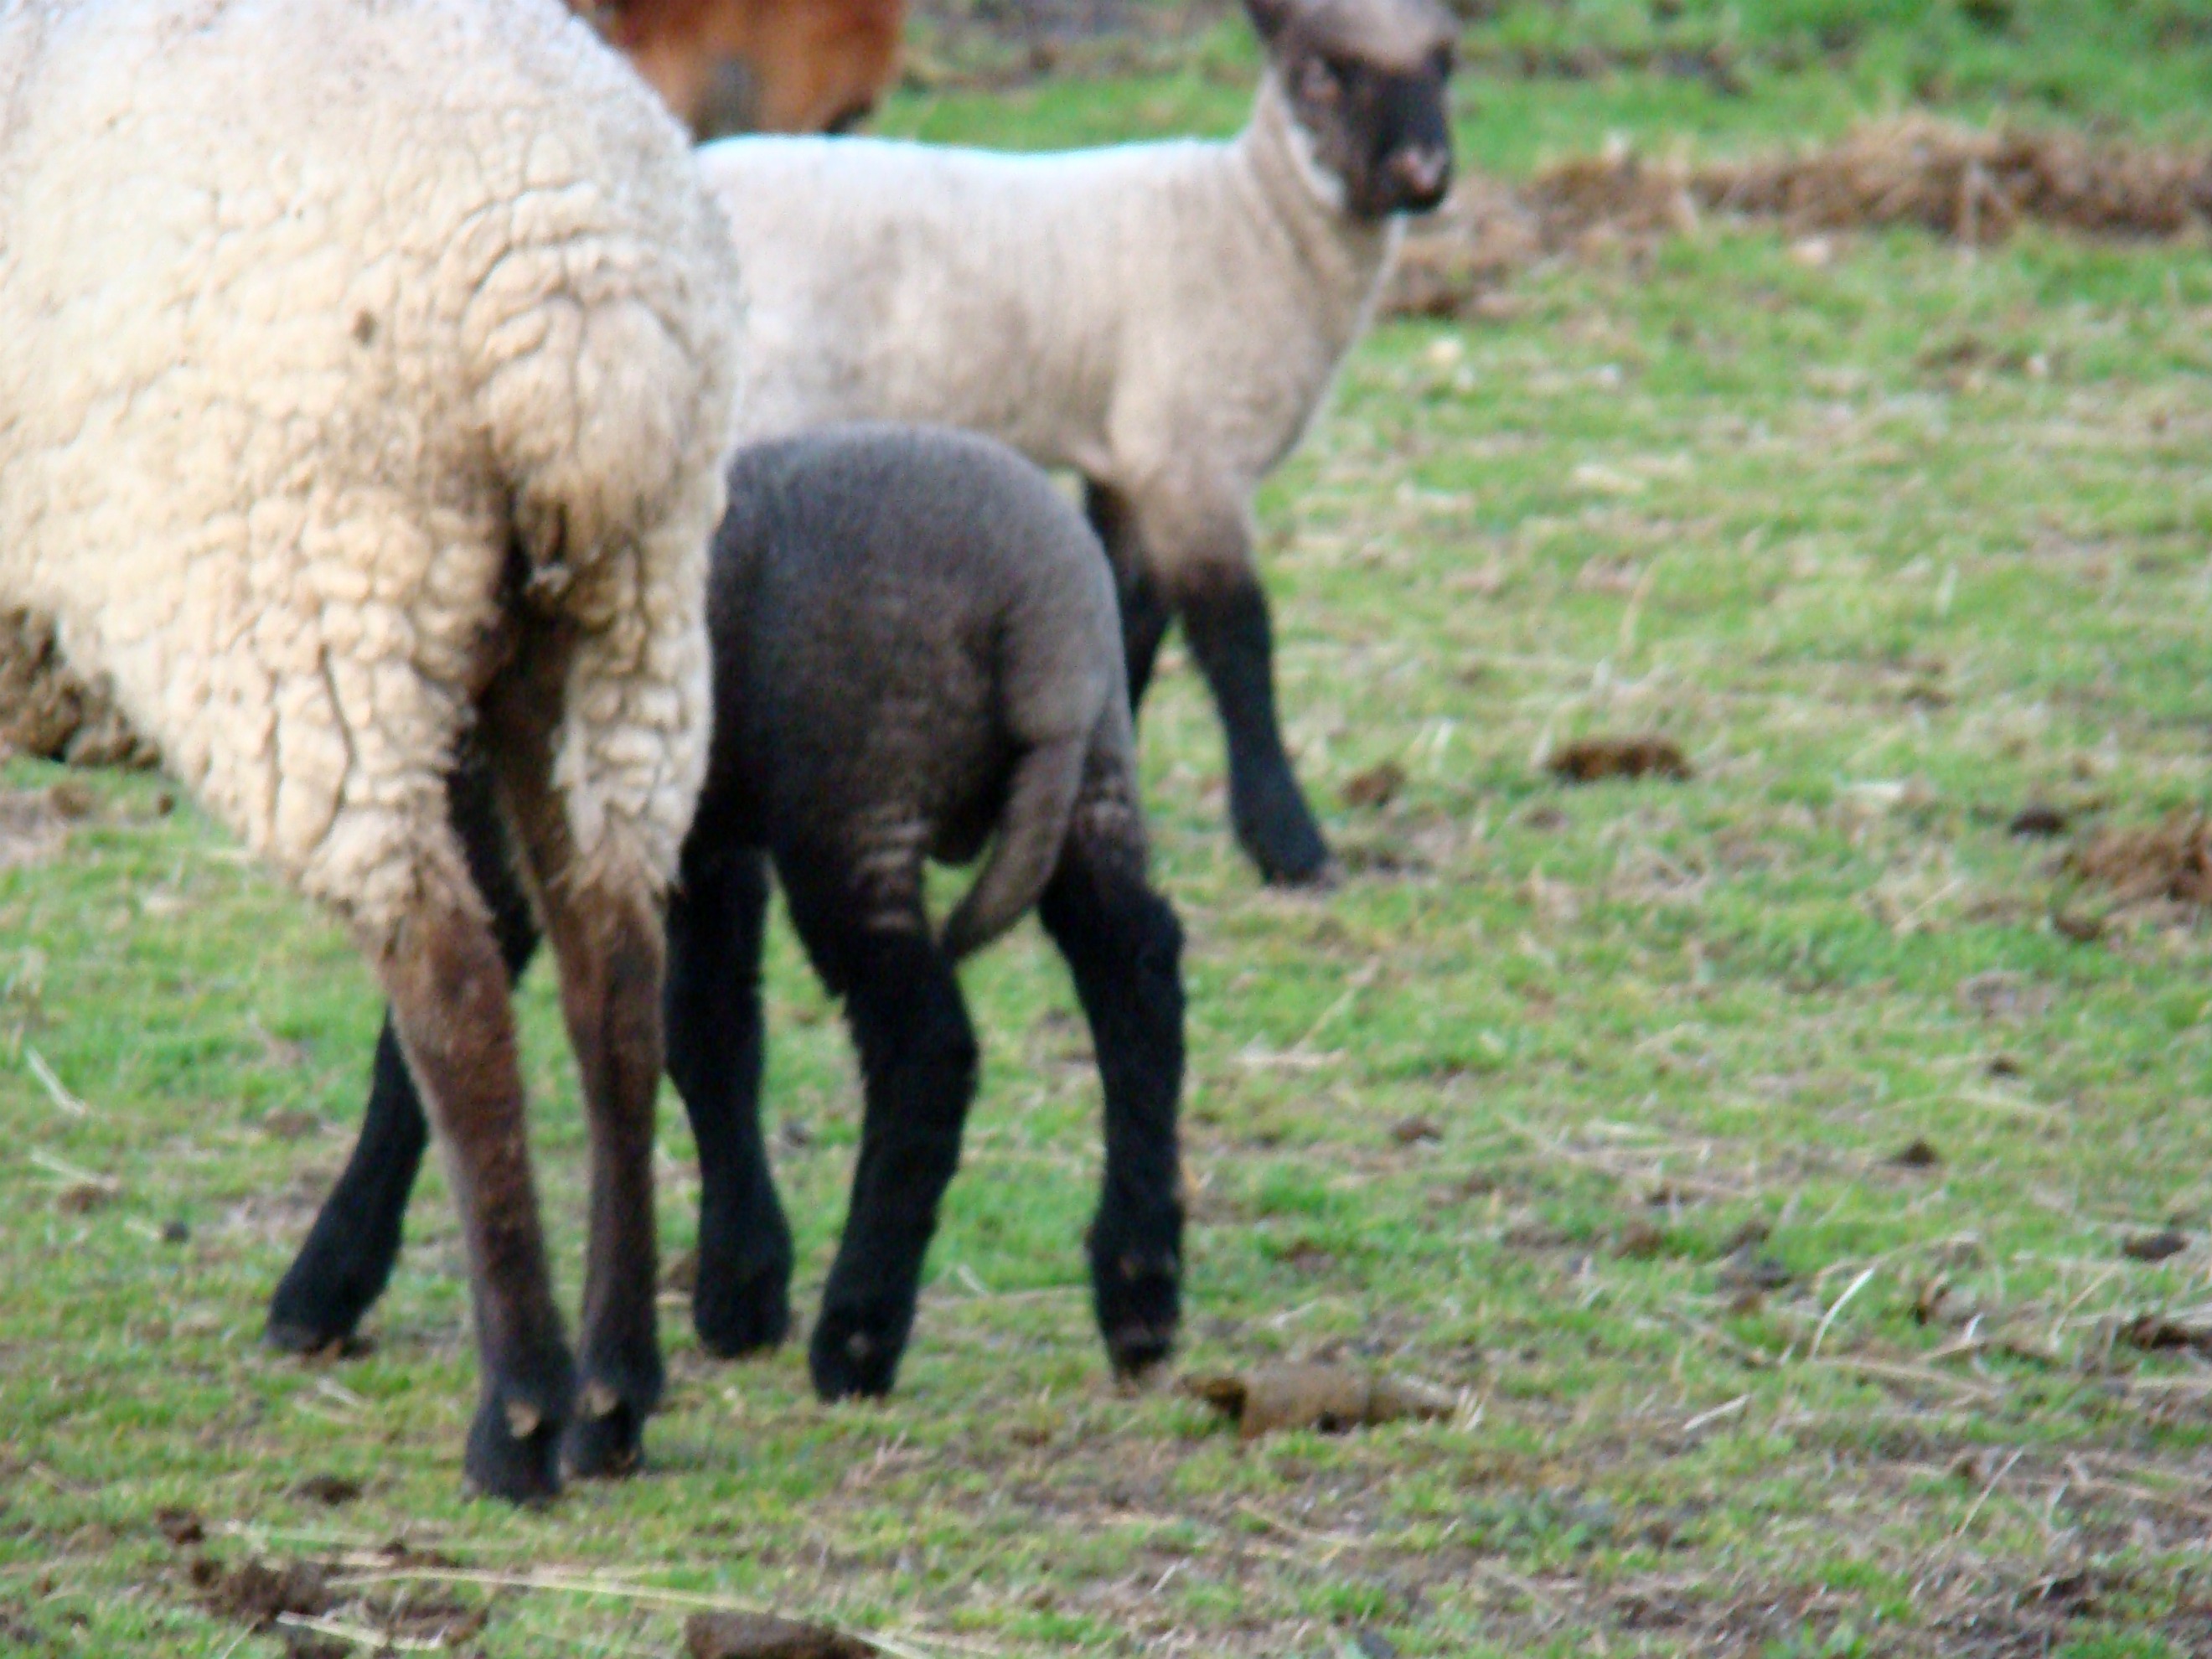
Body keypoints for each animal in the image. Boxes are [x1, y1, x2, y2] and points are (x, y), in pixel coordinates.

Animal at [0, 0, 741, 1500]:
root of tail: (578, 297)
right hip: (614, 615)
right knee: (614, 967)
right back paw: (614, 1394)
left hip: (309, 591)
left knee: (451, 982)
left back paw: (519, 1414)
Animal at [270, 424, 1189, 1400]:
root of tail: (1046, 624)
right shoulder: (698, 843)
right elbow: (709, 1034)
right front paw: (740, 1288)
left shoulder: (502, 829)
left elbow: (412, 1056)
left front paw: (322, 1285)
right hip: (1092, 783)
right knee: (1138, 977)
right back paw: (1140, 1291)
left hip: (856, 803)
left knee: (928, 1046)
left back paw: (858, 1333)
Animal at [691, 0, 1457, 887]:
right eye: (1321, 73)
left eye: (1447, 63)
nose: (1424, 171)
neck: (1258, 221)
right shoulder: (1190, 450)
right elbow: (1237, 639)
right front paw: (1290, 844)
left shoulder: (1130, 460)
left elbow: (1127, 626)